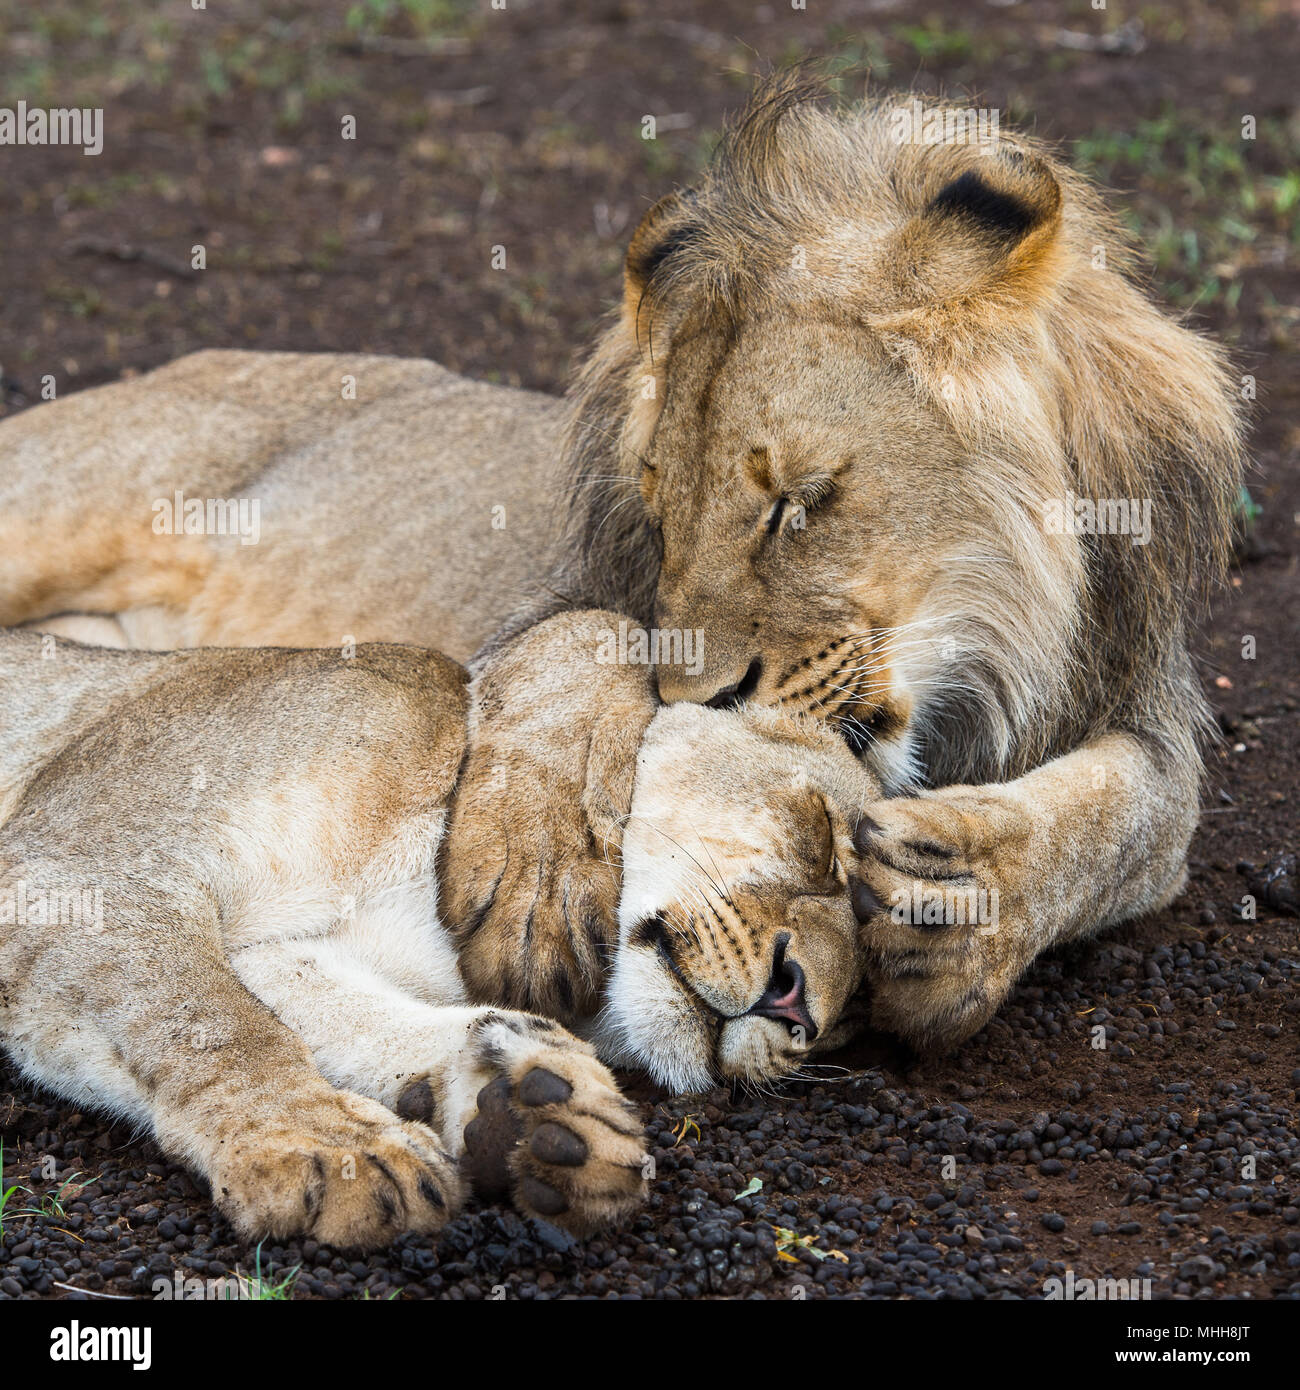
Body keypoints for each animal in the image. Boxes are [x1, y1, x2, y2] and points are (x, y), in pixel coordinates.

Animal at [0, 78, 1245, 1054]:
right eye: (660, 497)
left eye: (794, 501)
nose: (696, 694)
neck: (988, 655)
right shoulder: (550, 602)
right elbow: (586, 638)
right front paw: (536, 873)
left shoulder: (1141, 693)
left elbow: (1140, 820)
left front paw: (971, 907)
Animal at [0, 611, 879, 1247]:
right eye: (822, 840)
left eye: (848, 1023)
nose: (798, 1007)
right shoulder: (77, 868)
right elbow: (211, 1023)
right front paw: (326, 1150)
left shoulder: (278, 954)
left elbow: (327, 1019)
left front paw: (526, 1107)